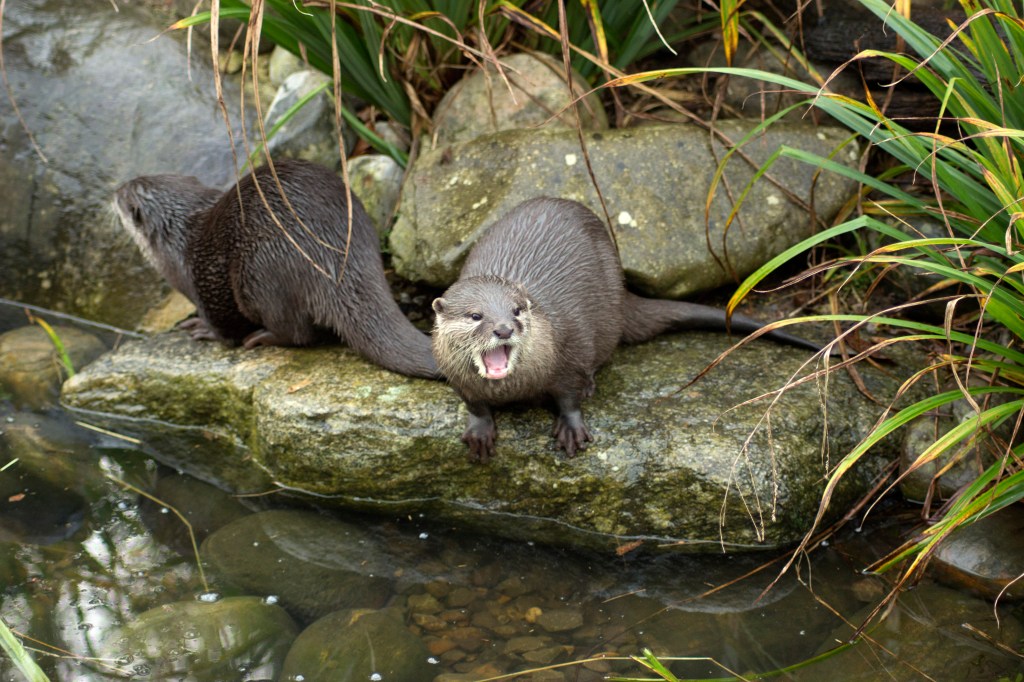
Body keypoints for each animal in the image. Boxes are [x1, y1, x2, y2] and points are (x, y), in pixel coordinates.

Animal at [114, 158, 438, 379]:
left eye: (125, 196)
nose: (115, 188)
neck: (180, 242)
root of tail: (336, 260)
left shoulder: (203, 282)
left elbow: (223, 326)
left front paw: (202, 329)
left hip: (259, 271)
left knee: (296, 333)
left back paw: (262, 337)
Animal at [432, 197, 828, 462]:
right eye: (475, 316)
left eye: (516, 310)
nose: (503, 329)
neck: (513, 388)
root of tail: (623, 293)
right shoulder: (458, 379)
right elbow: (475, 404)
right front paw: (480, 431)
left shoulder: (567, 357)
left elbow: (568, 394)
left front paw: (572, 427)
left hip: (607, 319)